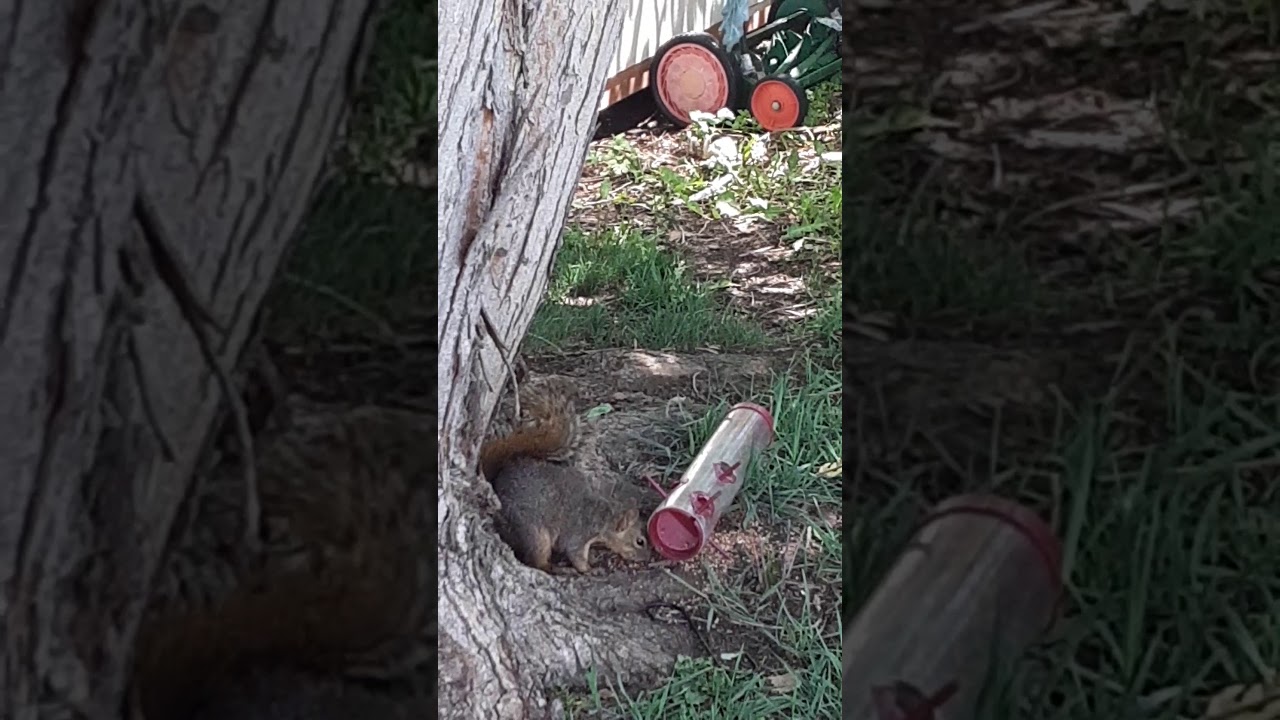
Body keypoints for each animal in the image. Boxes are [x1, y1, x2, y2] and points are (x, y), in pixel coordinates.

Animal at [478, 383, 653, 573]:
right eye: (640, 541)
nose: (647, 557)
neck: (603, 516)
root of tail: (497, 480)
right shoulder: (579, 534)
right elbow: (576, 555)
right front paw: (590, 569)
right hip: (533, 531)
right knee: (537, 561)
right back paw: (557, 568)